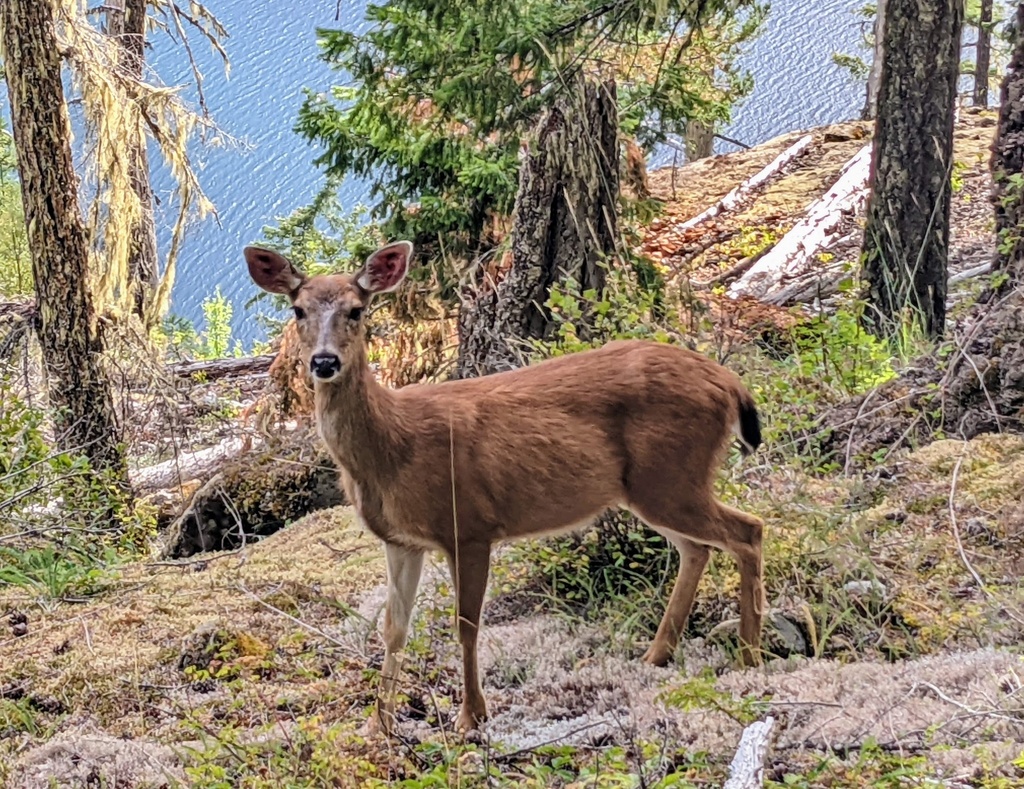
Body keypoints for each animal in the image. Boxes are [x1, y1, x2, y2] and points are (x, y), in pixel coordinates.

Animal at [244, 240, 766, 735]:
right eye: (298, 310)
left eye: (356, 309)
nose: (324, 362)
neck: (392, 449)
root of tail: (730, 382)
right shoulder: (400, 540)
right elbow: (394, 628)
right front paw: (379, 724)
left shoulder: (469, 526)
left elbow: (466, 624)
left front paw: (471, 716)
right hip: (655, 487)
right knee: (699, 547)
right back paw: (657, 654)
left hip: (671, 475)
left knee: (748, 530)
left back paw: (749, 656)